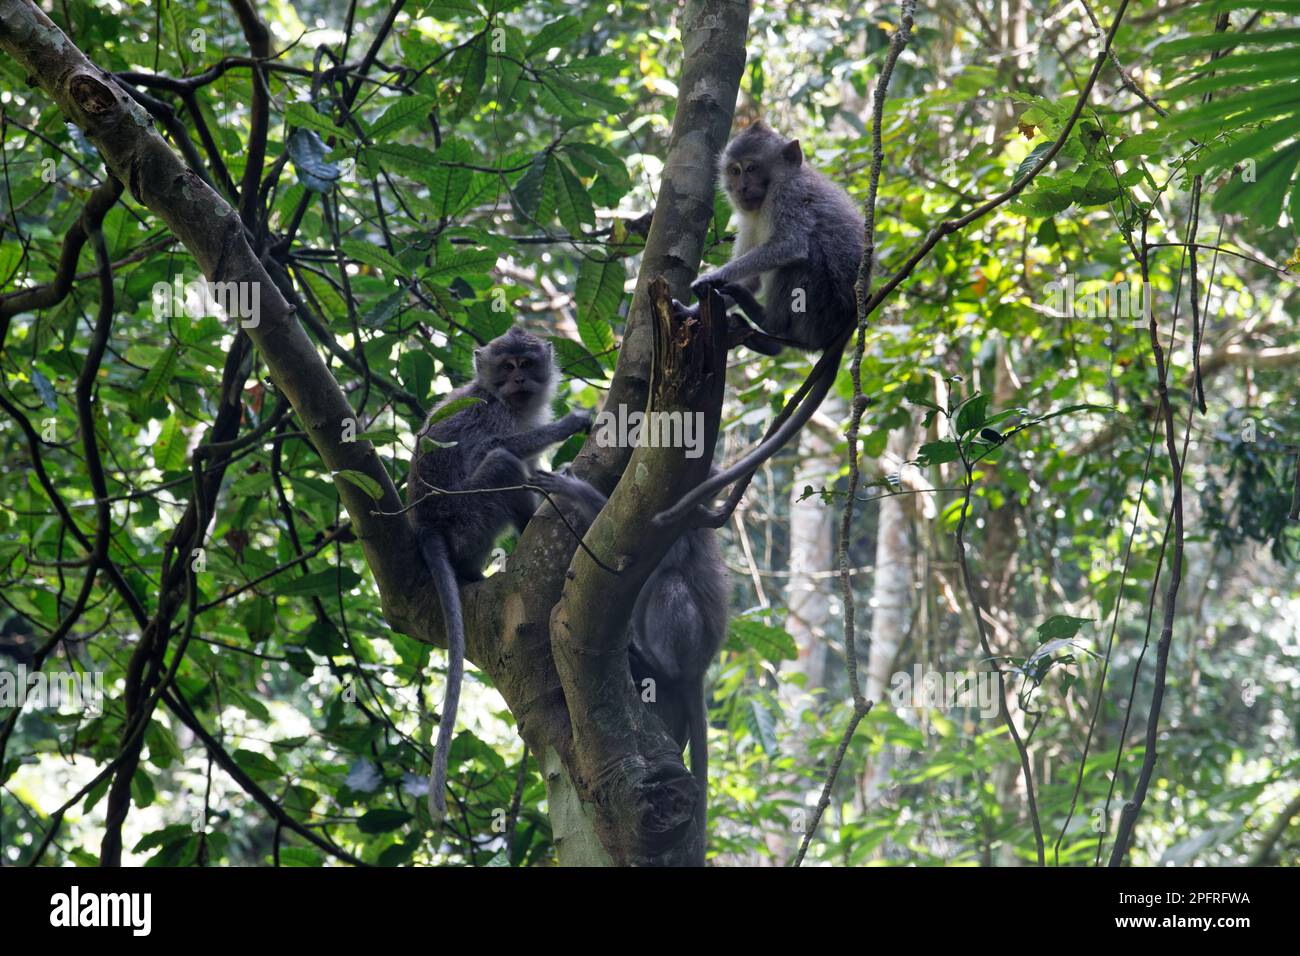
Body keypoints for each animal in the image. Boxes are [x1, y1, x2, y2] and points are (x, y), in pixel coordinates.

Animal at [409, 326, 592, 823]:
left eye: (525, 364)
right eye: (506, 366)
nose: (518, 380)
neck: (503, 400)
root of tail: (426, 526)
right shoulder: (488, 416)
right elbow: (495, 447)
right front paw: (571, 425)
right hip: (468, 518)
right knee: (502, 463)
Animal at [530, 466, 729, 811]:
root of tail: (701, 669)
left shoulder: (686, 528)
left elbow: (666, 556)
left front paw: (574, 489)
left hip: (694, 647)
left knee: (670, 581)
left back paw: (660, 666)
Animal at [659, 120, 865, 525]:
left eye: (752, 168)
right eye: (735, 170)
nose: (741, 188)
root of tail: (843, 330)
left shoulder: (789, 198)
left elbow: (789, 246)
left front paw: (711, 279)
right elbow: (753, 275)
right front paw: (690, 309)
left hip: (818, 307)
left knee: (800, 260)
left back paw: (768, 326)